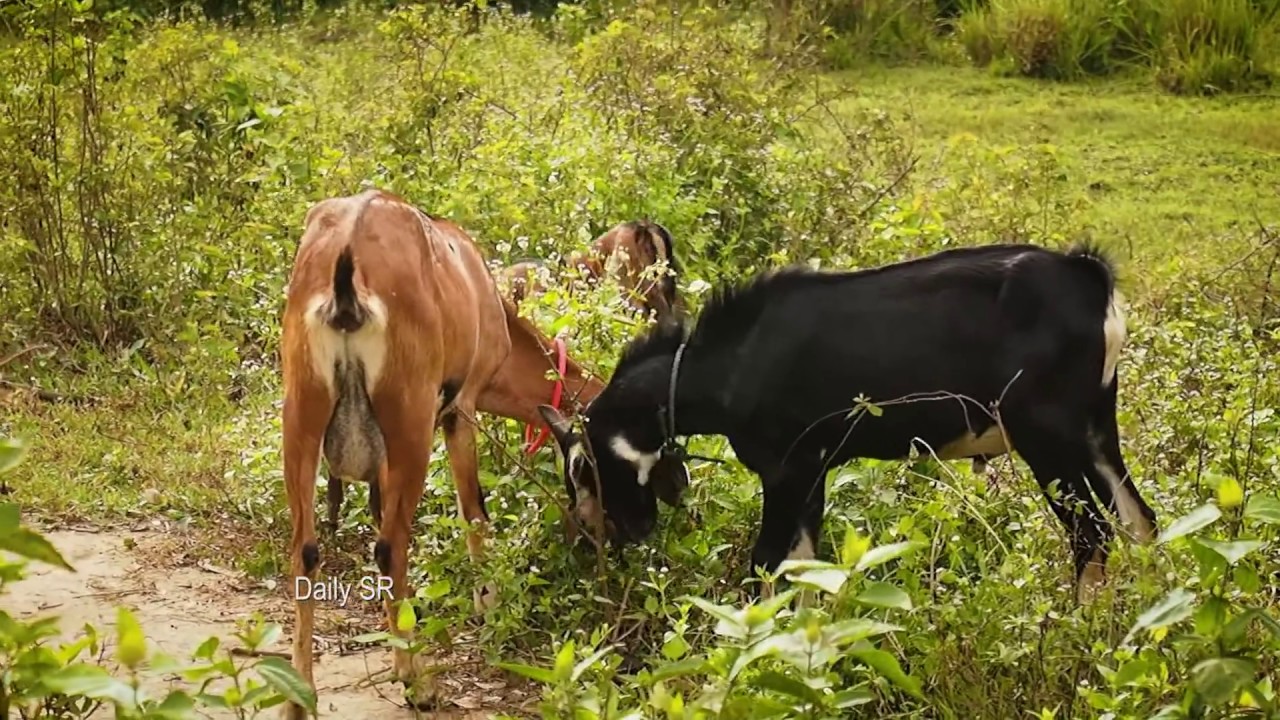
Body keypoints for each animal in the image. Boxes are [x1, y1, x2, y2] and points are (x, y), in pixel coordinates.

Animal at [280, 189, 602, 717]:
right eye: (586, 467)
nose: (595, 536)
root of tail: (347, 280)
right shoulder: (460, 410)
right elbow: (475, 515)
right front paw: (487, 609)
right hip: (409, 425)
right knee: (391, 547)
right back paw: (420, 686)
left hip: (302, 418)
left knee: (305, 552)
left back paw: (299, 697)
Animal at [538, 243, 1160, 605]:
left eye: (584, 466)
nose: (598, 534)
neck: (732, 361)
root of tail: (1089, 277)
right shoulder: (813, 470)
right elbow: (803, 564)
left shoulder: (787, 467)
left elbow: (767, 564)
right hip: (1095, 425)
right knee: (1141, 522)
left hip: (1046, 435)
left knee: (1092, 532)